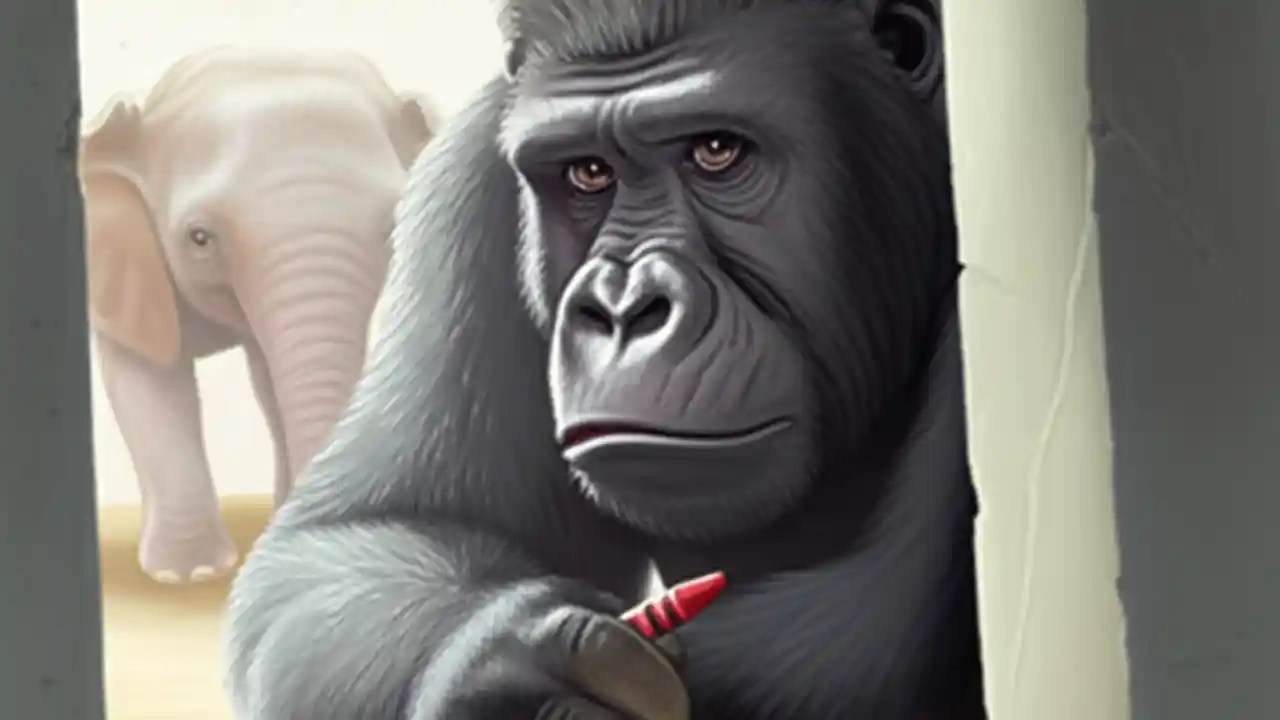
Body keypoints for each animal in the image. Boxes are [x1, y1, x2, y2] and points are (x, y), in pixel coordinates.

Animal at [222, 1, 985, 718]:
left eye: (717, 151)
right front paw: (501, 664)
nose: (622, 306)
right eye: (588, 172)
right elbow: (363, 535)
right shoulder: (470, 176)